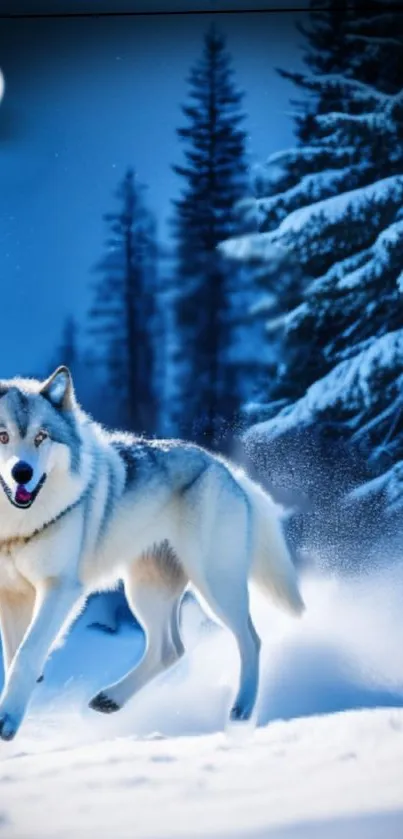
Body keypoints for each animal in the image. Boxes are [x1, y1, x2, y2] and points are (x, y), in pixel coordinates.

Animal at [0, 366, 304, 740]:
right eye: (2, 436)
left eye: (41, 436)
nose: (21, 473)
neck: (15, 529)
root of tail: (226, 468)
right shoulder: (10, 595)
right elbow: (14, 655)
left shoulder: (60, 588)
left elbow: (26, 654)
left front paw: (8, 719)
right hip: (146, 591)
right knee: (170, 651)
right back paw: (111, 699)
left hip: (214, 588)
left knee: (251, 639)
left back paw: (242, 710)